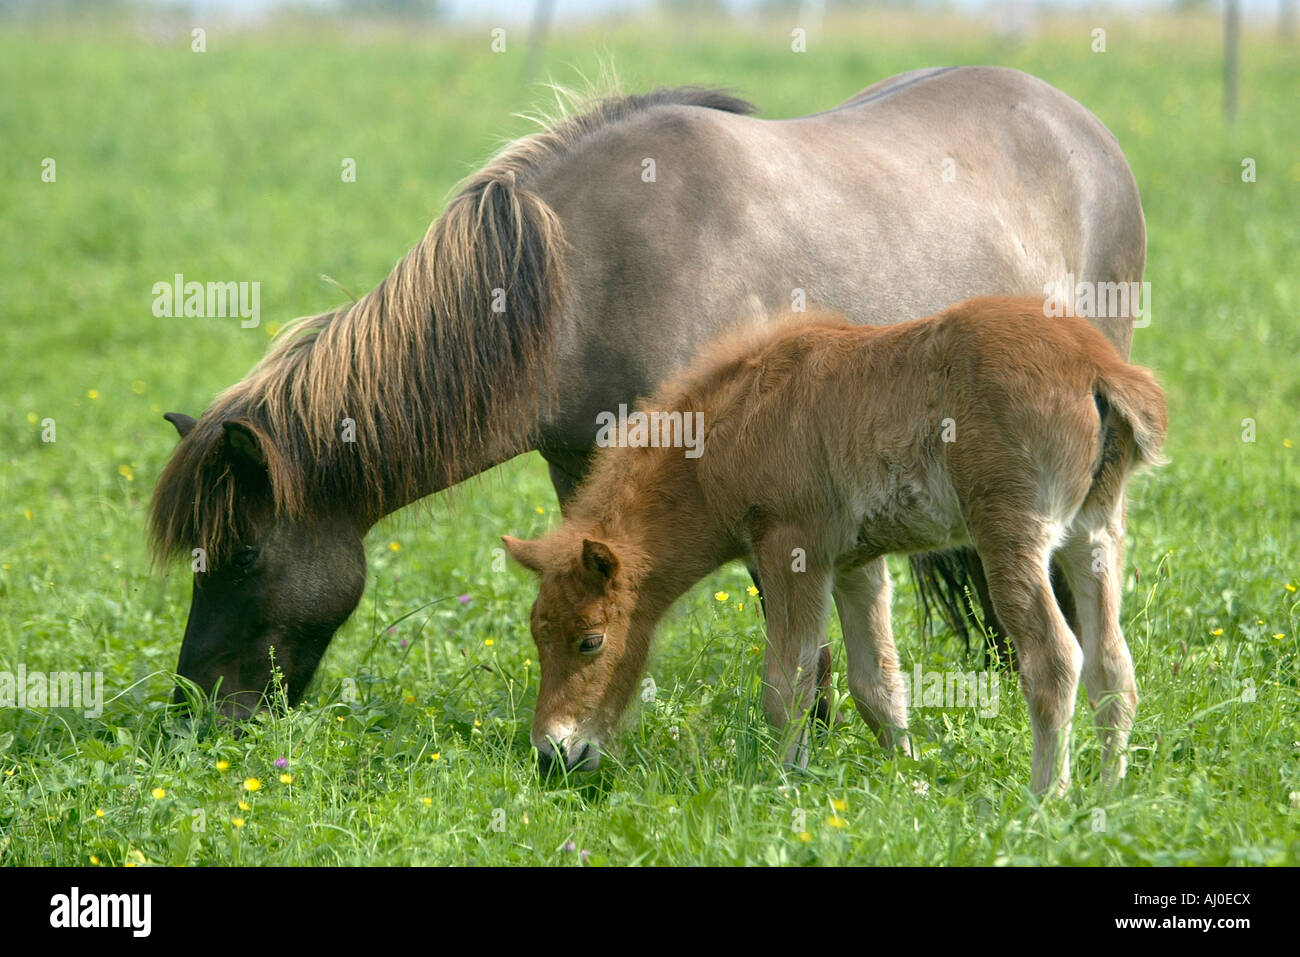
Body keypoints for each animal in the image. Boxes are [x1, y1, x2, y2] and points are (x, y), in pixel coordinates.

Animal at [150, 69, 1147, 718]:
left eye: (242, 555)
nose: (197, 709)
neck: (582, 284)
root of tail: (1080, 122)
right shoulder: (588, 470)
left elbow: (798, 630)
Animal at [503, 296, 1167, 796]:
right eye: (537, 634)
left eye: (591, 641)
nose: (553, 753)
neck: (730, 428)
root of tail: (1097, 367)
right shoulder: (856, 565)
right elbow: (878, 686)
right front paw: (907, 782)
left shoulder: (792, 549)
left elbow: (789, 682)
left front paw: (782, 784)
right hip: (1094, 536)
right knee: (1112, 663)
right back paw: (1108, 793)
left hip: (1011, 534)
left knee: (1055, 659)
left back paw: (1044, 798)